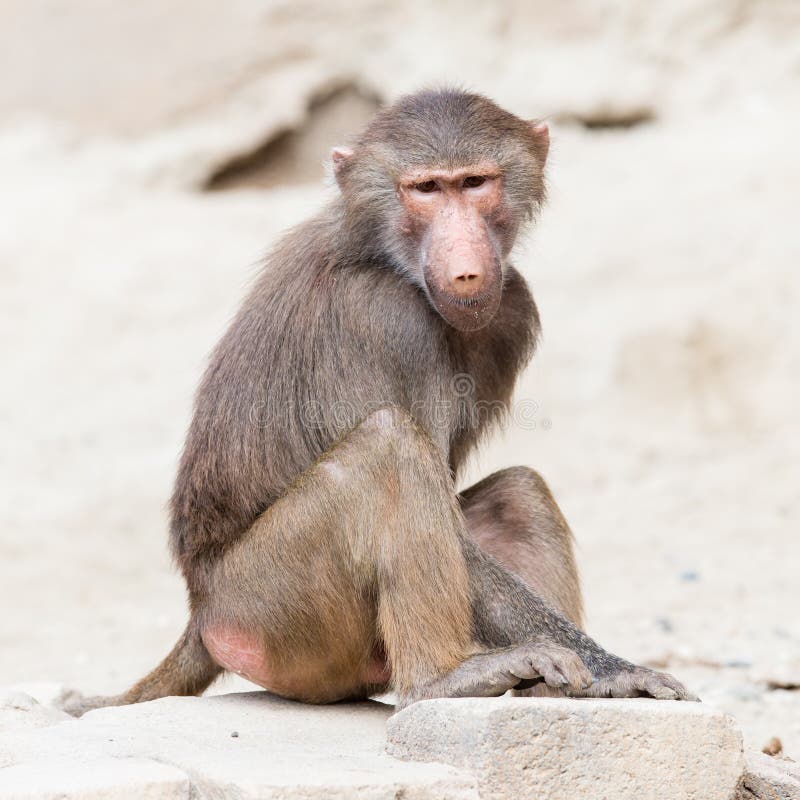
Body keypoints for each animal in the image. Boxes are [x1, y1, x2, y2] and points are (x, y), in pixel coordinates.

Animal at [68, 89, 694, 715]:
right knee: (388, 447)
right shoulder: (387, 314)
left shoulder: (512, 309)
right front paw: (616, 671)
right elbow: (440, 514)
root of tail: (200, 614)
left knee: (520, 492)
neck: (385, 256)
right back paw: (444, 680)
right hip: (266, 607)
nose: (466, 269)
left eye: (474, 183)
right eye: (426, 189)